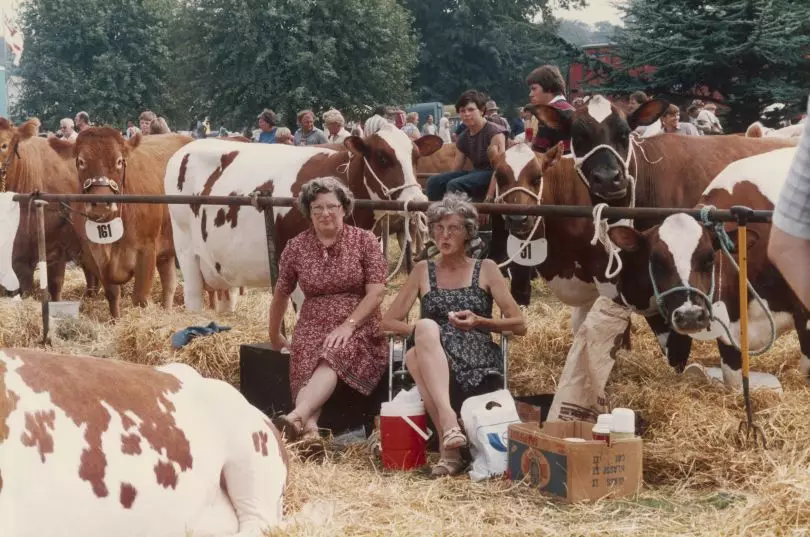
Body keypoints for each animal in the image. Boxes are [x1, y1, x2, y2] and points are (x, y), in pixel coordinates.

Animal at [49, 128, 193, 316]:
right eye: (81, 161)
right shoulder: (95, 254)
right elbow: (112, 294)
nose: (101, 204)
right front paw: (115, 320)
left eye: (119, 161)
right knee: (169, 283)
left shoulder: (147, 250)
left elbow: (140, 298)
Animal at [166, 124, 442, 312]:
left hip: (222, 266)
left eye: (416, 157)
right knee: (192, 296)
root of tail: (186, 148)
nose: (417, 198)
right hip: (185, 249)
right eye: (382, 157)